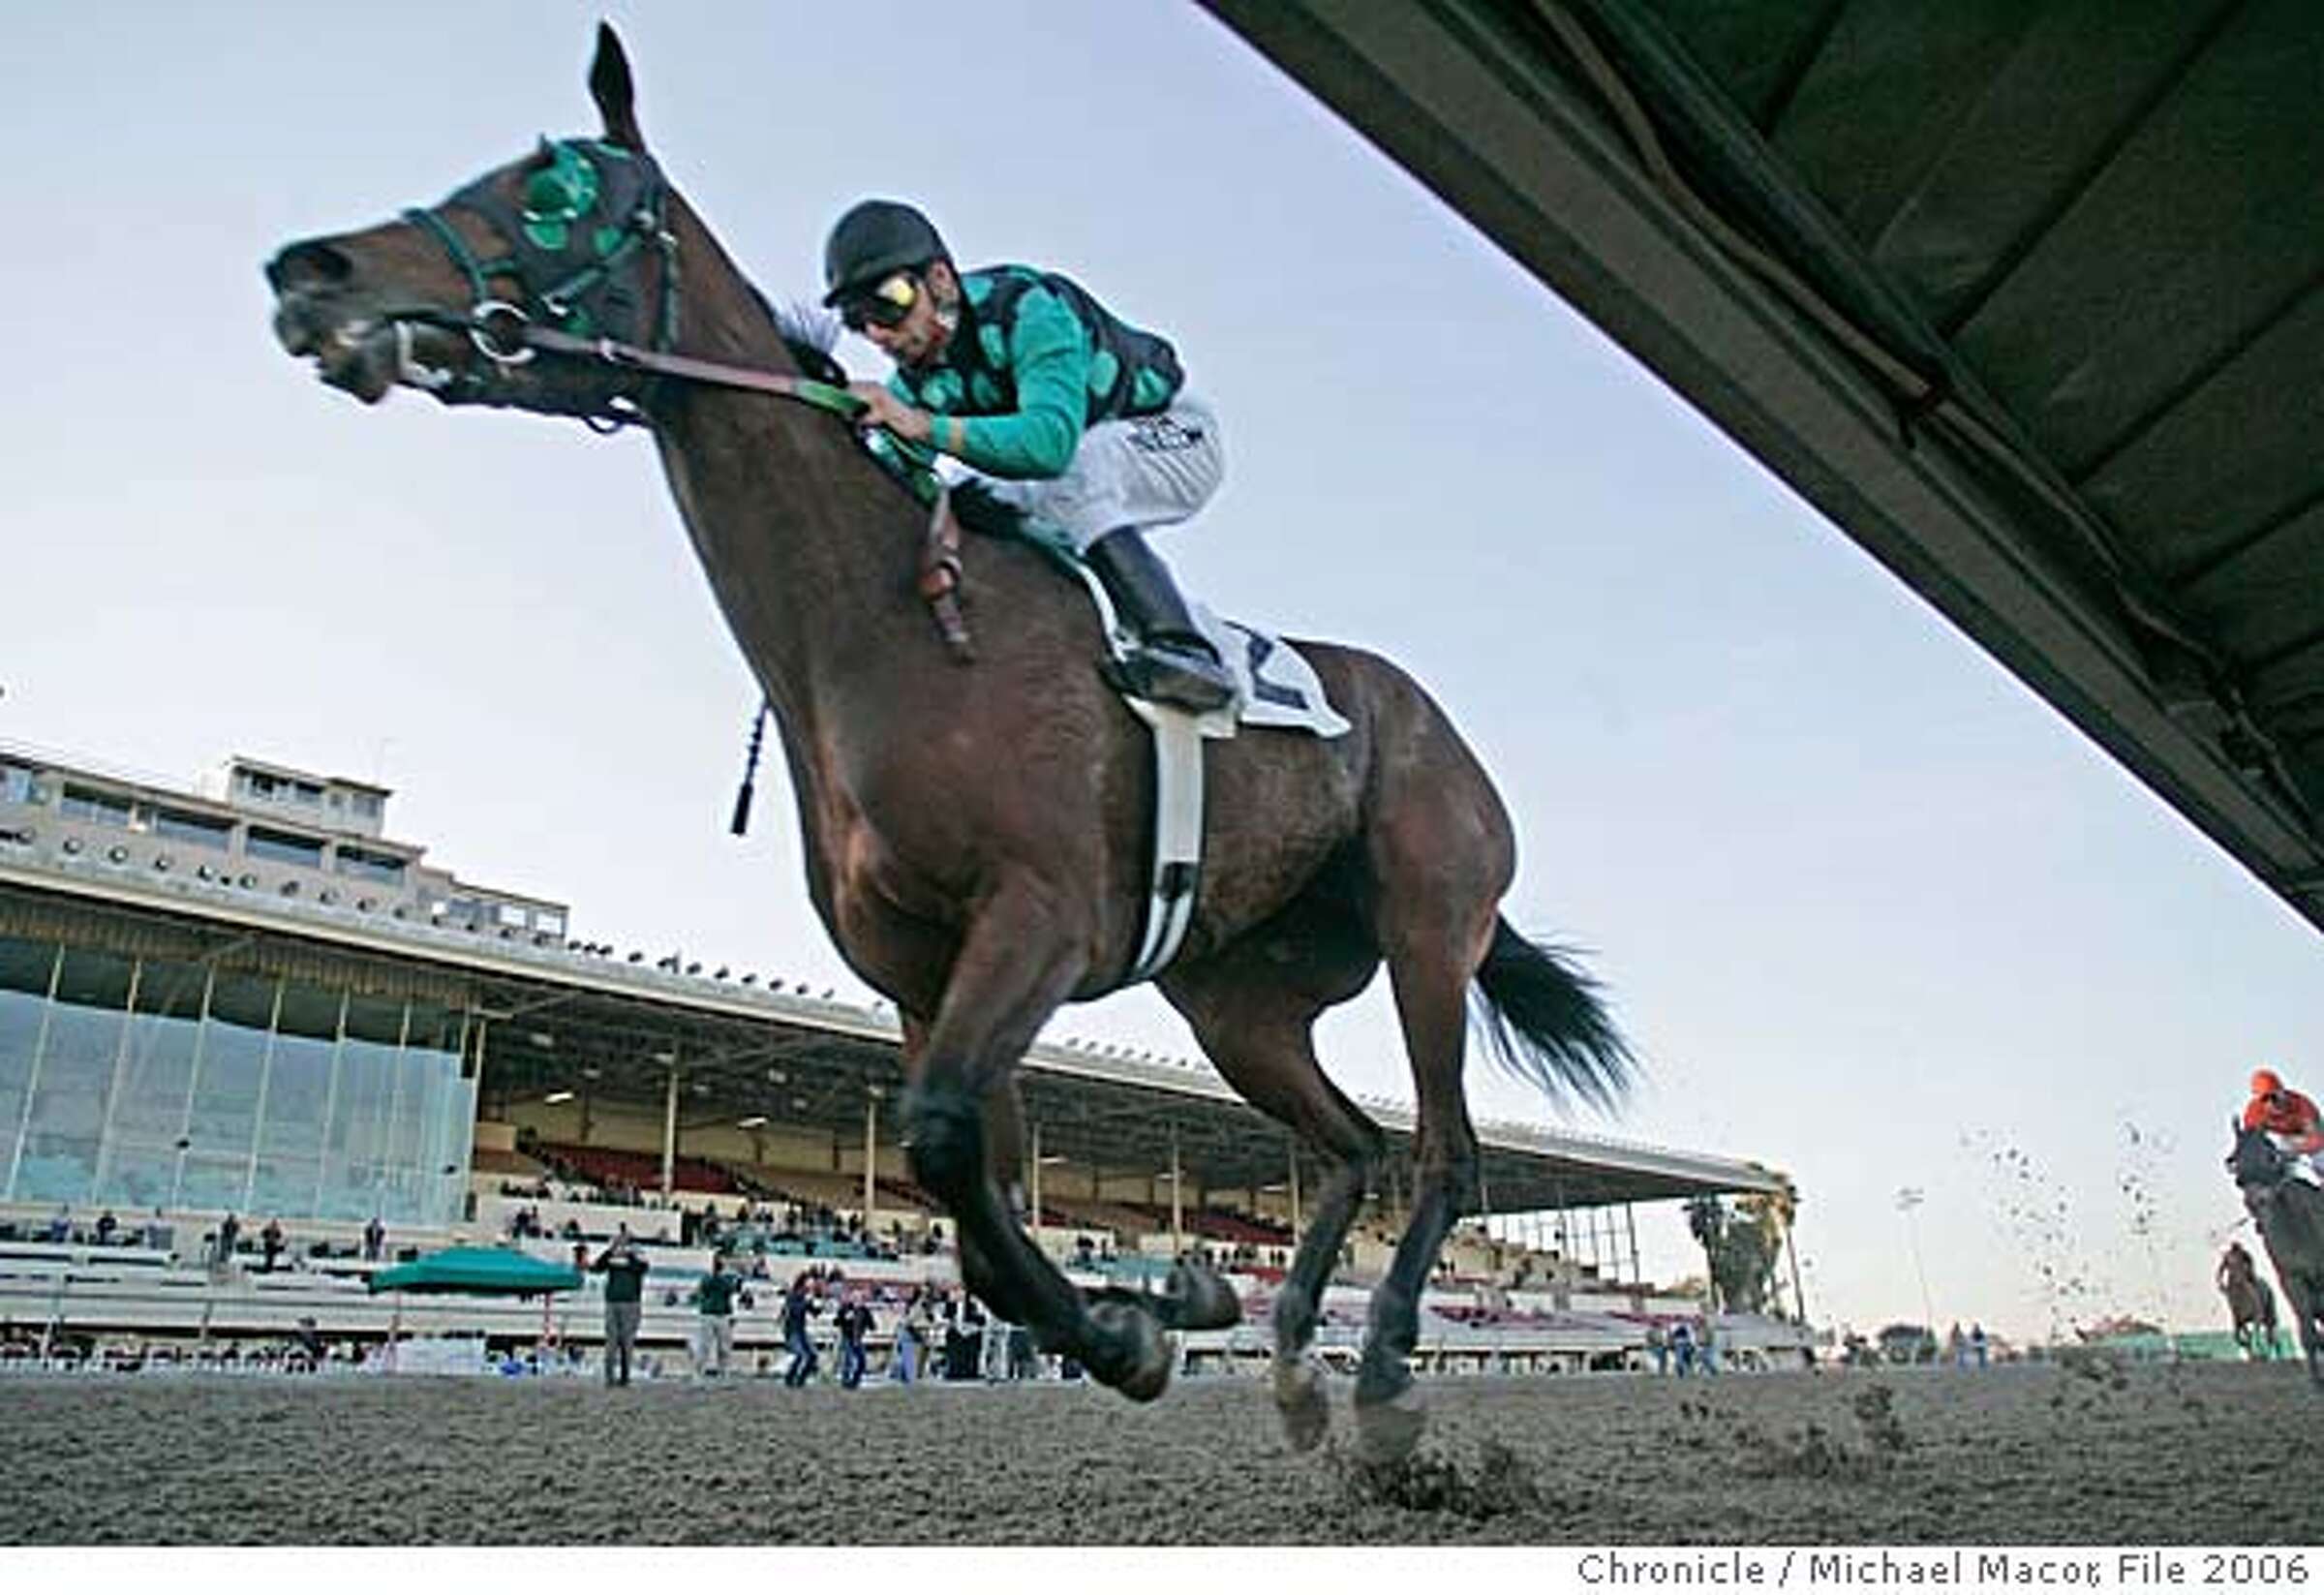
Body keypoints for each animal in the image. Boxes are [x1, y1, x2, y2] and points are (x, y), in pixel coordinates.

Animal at [265, 25, 1632, 1462]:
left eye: (555, 193)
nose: (314, 272)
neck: (889, 626)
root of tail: (1441, 730)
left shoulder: (1039, 916)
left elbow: (934, 1140)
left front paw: (1131, 1327)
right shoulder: (926, 973)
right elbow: (970, 1192)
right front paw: (1167, 1300)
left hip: (1430, 928)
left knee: (1443, 1152)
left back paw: (1376, 1359)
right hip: (1238, 1000)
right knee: (1358, 1148)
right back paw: (1295, 1353)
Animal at [2227, 1121, 2324, 1388]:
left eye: (2270, 1154)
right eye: (2235, 1159)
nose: (2258, 1200)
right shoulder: (2292, 1278)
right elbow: (2309, 1332)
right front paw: (2316, 1381)